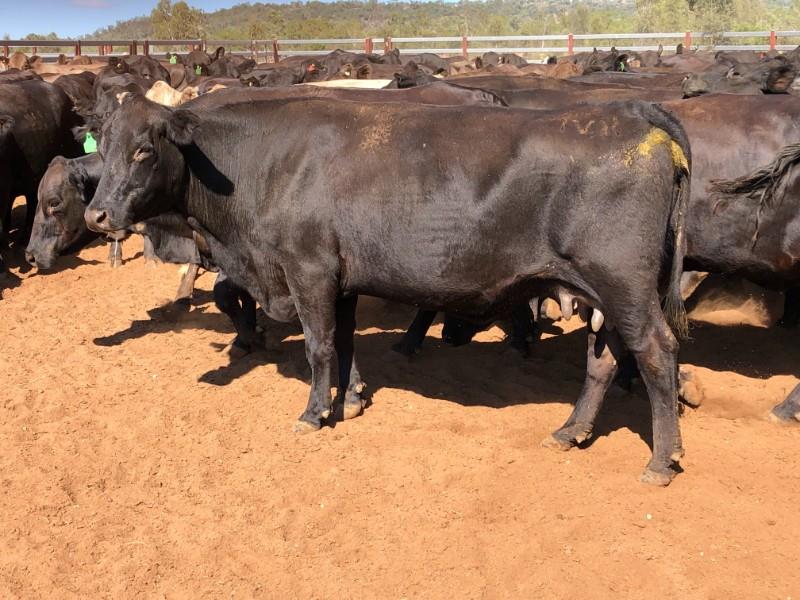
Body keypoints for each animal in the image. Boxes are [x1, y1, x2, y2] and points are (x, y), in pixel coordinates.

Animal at [84, 94, 691, 484]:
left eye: (143, 150)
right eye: (104, 146)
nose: (97, 215)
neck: (262, 164)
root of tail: (635, 113)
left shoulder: (308, 270)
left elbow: (319, 345)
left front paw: (315, 412)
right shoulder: (343, 278)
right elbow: (346, 339)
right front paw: (351, 397)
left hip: (624, 286)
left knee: (656, 354)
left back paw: (661, 461)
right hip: (600, 293)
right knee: (603, 359)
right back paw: (572, 430)